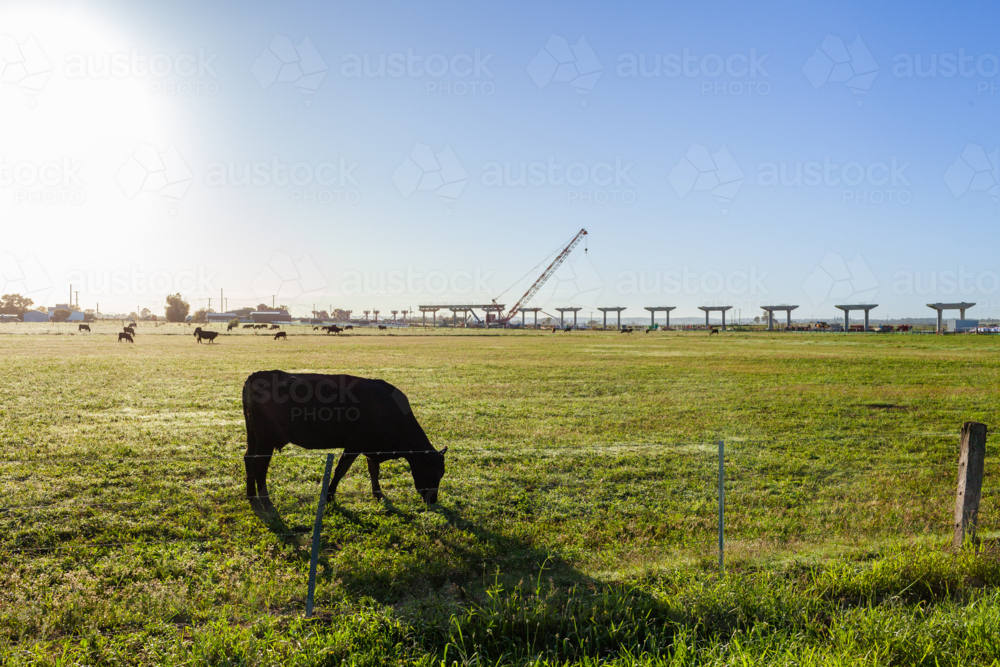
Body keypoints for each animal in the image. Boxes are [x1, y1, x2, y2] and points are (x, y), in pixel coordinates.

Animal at [241, 371, 447, 510]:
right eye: (431, 472)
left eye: (441, 474)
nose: (433, 500)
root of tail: (256, 376)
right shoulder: (355, 444)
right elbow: (341, 470)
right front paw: (329, 496)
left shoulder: (372, 449)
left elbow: (373, 471)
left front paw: (378, 495)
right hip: (266, 440)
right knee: (259, 465)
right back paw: (266, 501)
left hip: (254, 437)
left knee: (248, 459)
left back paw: (252, 498)